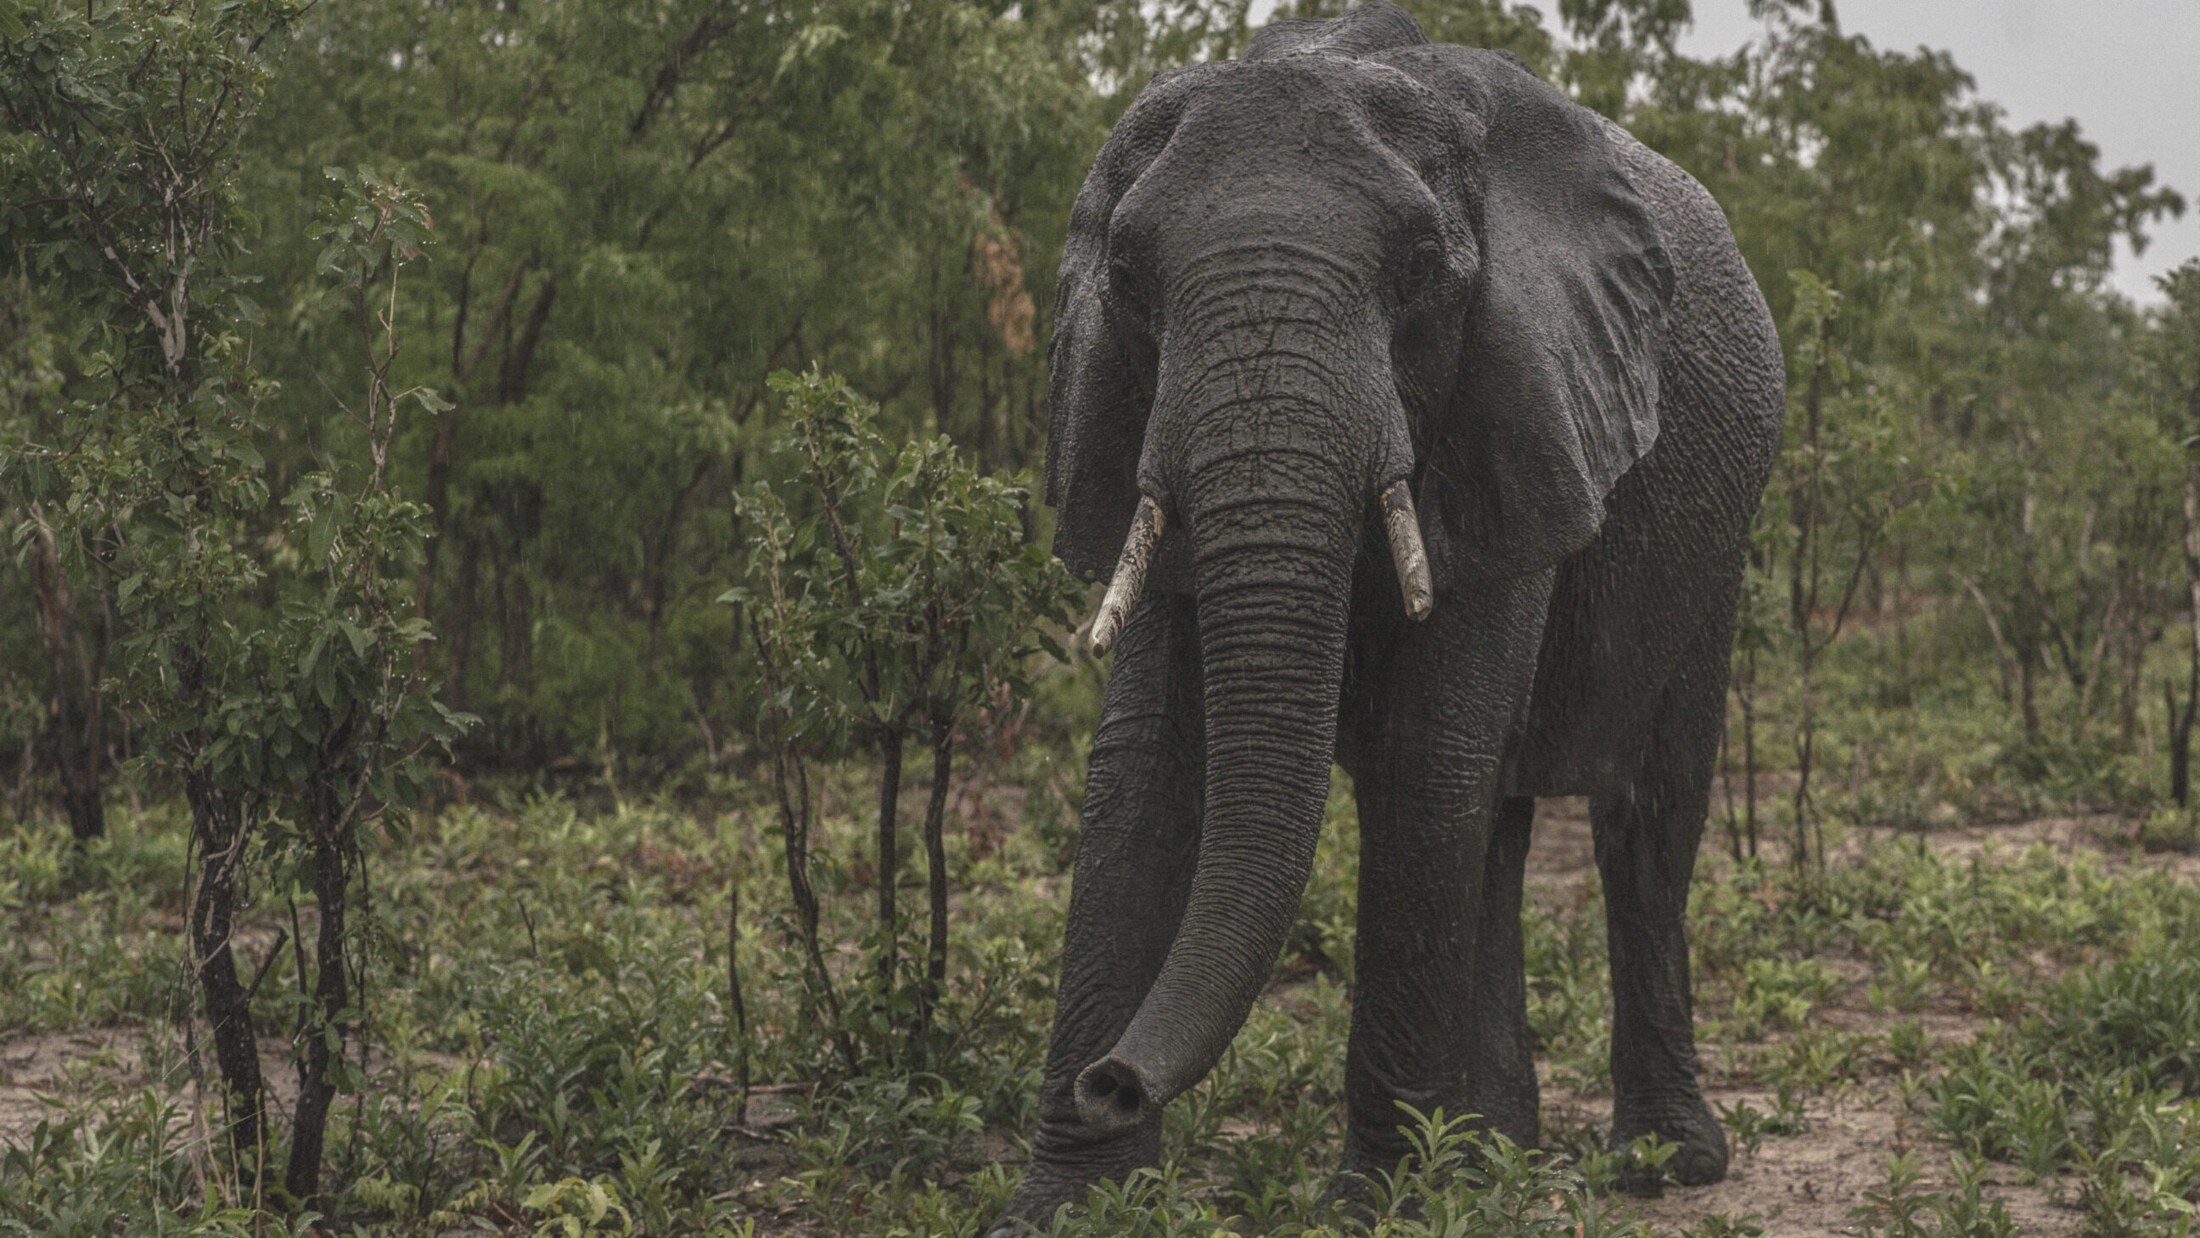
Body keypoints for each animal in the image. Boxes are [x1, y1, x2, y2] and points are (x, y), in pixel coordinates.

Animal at [989, 4, 1784, 1230]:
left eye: (1419, 272)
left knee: (1641, 815)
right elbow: (1145, 764)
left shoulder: (1517, 401)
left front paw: (1379, 1205)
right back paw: (1495, 1153)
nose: (1112, 1080)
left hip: (1716, 544)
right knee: (1497, 818)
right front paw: (1061, 1207)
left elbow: (1426, 749)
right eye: (1125, 273)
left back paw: (1657, 1162)